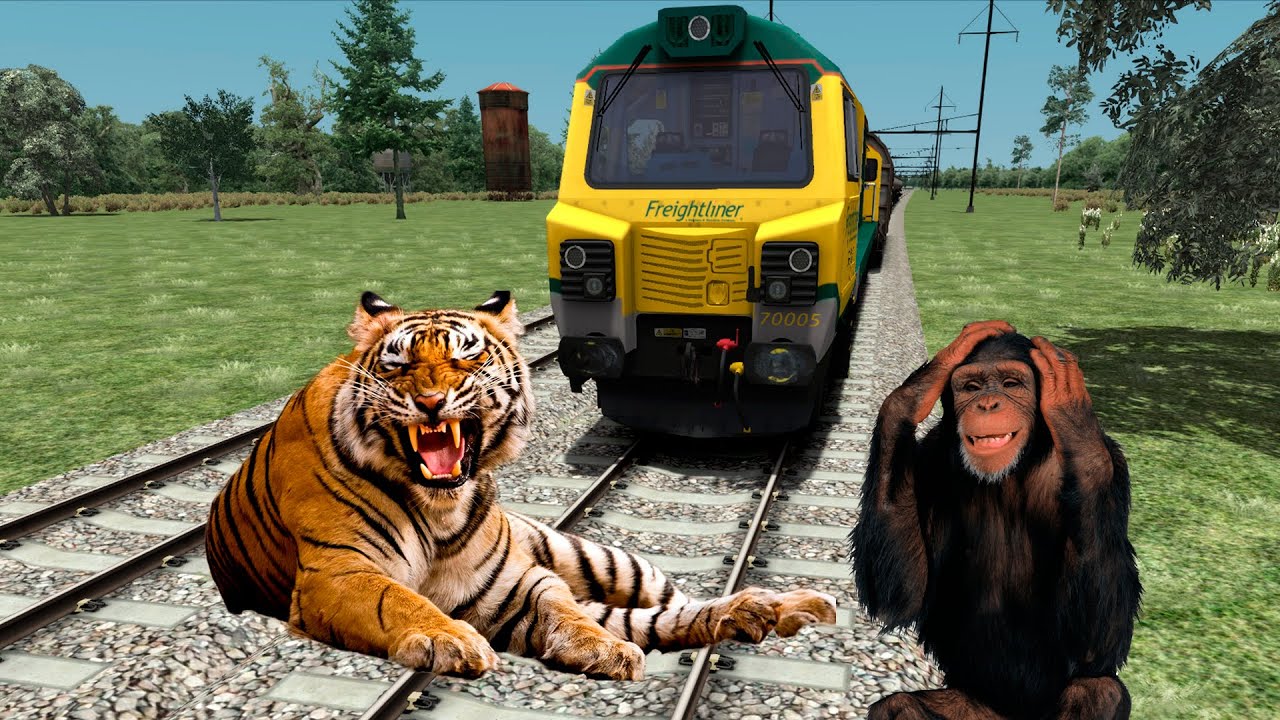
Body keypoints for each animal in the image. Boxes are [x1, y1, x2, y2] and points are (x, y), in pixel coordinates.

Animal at [205, 290, 837, 680]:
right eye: (398, 365)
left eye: (467, 358)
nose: (430, 400)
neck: (439, 508)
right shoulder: (336, 573)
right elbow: (396, 598)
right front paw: (453, 640)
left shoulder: (511, 584)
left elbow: (560, 608)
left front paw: (601, 650)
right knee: (656, 618)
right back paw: (765, 613)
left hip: (605, 560)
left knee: (670, 604)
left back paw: (793, 605)